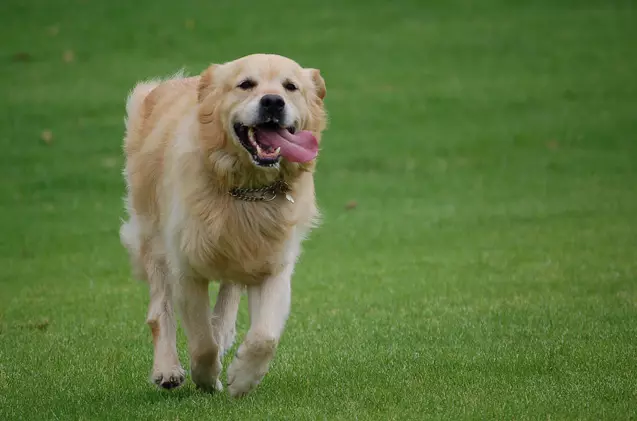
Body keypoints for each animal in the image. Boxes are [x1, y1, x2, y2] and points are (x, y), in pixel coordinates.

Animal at [120, 54, 328, 396]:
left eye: (290, 86)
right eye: (246, 84)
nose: (273, 101)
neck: (244, 188)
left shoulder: (273, 266)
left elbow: (264, 337)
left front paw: (242, 377)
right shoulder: (185, 269)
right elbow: (201, 342)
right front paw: (206, 378)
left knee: (230, 291)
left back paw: (224, 332)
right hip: (154, 240)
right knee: (159, 311)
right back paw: (167, 369)